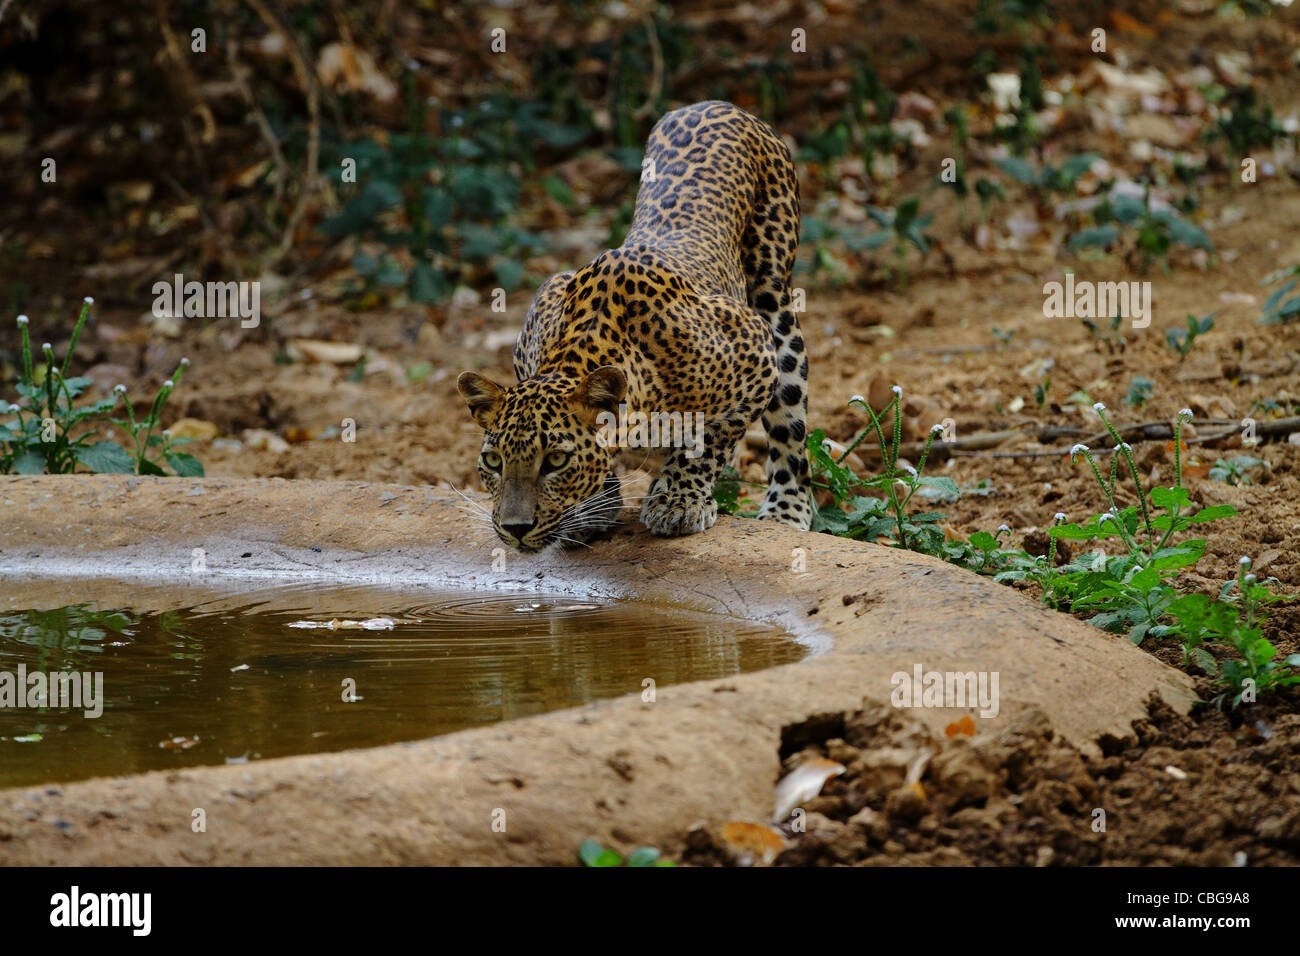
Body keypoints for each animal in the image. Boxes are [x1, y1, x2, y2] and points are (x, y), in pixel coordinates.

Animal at [456, 100, 812, 552]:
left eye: (555, 460)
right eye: (493, 461)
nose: (514, 529)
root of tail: (716, 104)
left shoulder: (753, 351)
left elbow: (707, 440)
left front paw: (678, 501)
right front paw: (592, 509)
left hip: (775, 301)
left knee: (790, 425)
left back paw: (786, 509)